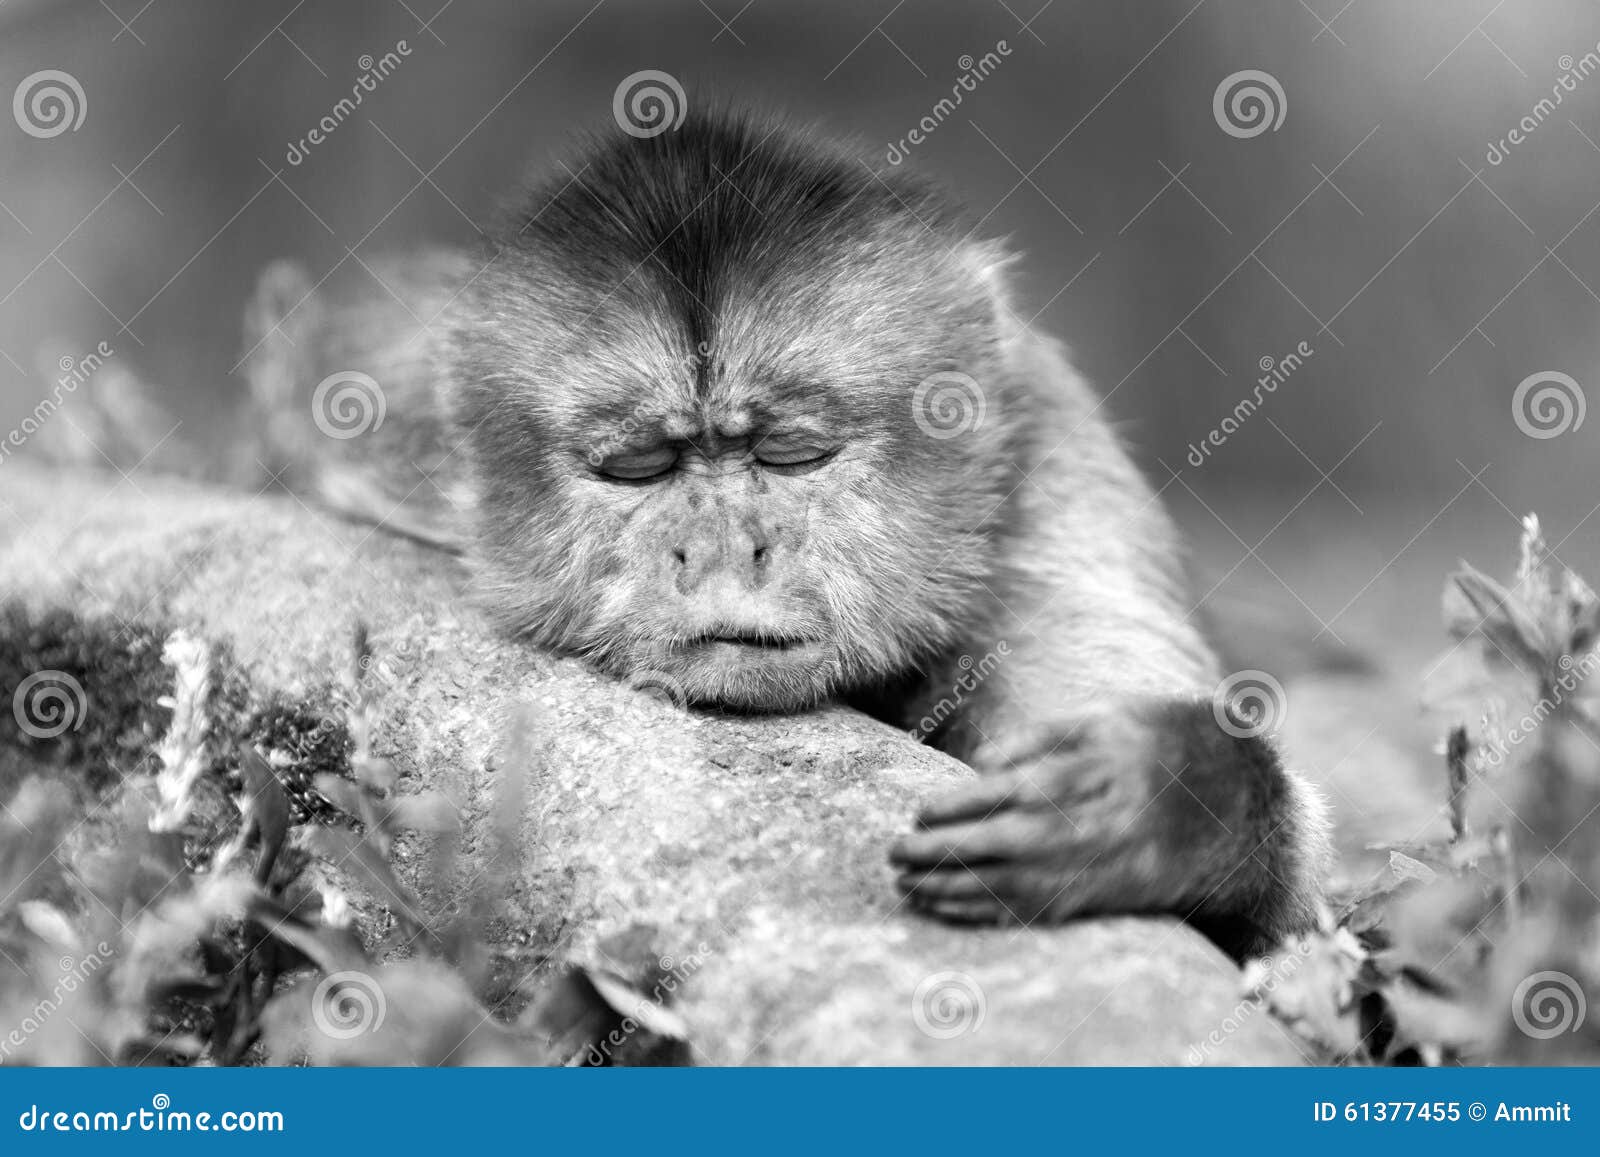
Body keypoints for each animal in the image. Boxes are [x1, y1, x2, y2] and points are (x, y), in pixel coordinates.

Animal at [241, 107, 1329, 961]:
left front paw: (1165, 802)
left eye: (792, 453)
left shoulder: (1052, 478)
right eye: (640, 467)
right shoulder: (374, 406)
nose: (725, 551)